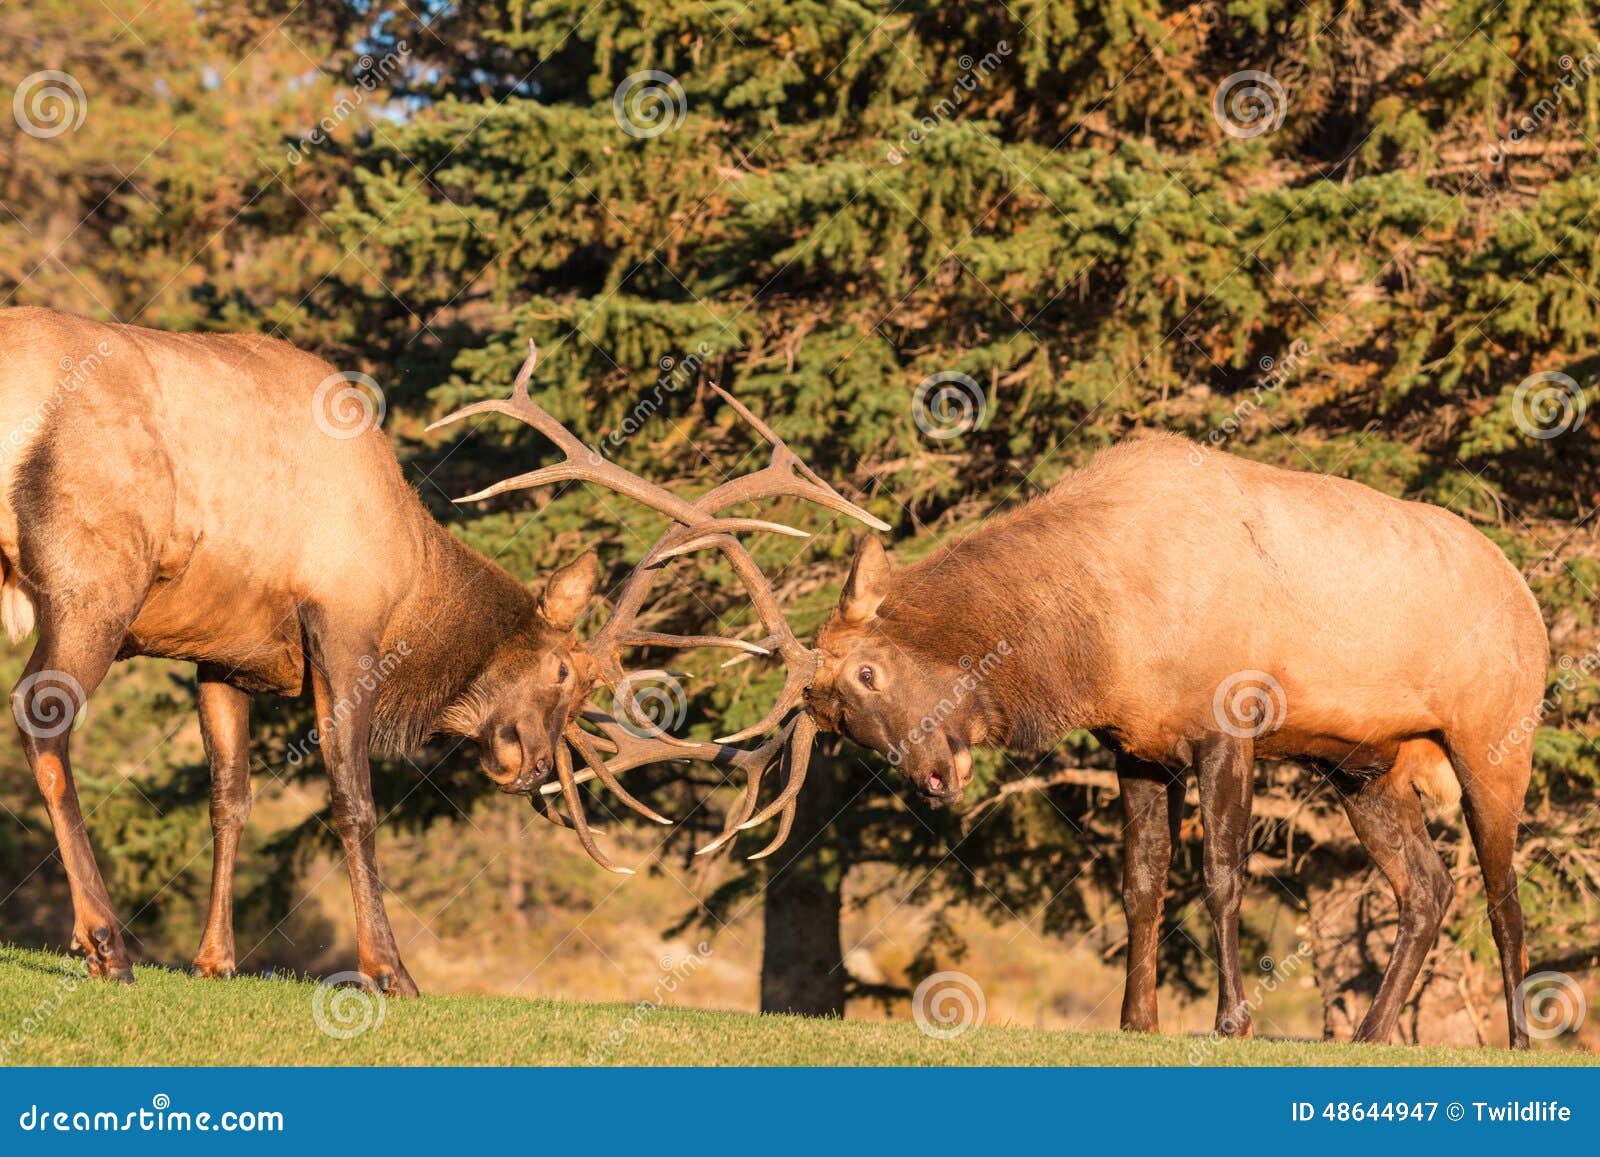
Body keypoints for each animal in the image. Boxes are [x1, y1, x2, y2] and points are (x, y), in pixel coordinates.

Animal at [0, 305, 882, 994]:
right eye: (564, 672)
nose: (531, 765)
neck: (412, 577)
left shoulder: (223, 652)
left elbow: (231, 799)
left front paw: (215, 959)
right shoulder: (344, 627)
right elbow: (353, 803)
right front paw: (390, 969)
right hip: (94, 575)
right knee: (43, 717)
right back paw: (106, 942)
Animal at [794, 433, 1549, 1048]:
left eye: (868, 671)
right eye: (838, 721)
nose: (929, 776)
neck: (1092, 636)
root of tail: (1530, 599)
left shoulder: (1229, 721)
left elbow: (1220, 877)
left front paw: (1233, 1021)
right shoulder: (1136, 745)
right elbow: (1141, 884)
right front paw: (1137, 1019)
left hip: (1495, 745)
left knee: (1503, 897)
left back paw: (1518, 1038)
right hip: (1366, 769)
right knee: (1428, 887)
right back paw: (1370, 1031)